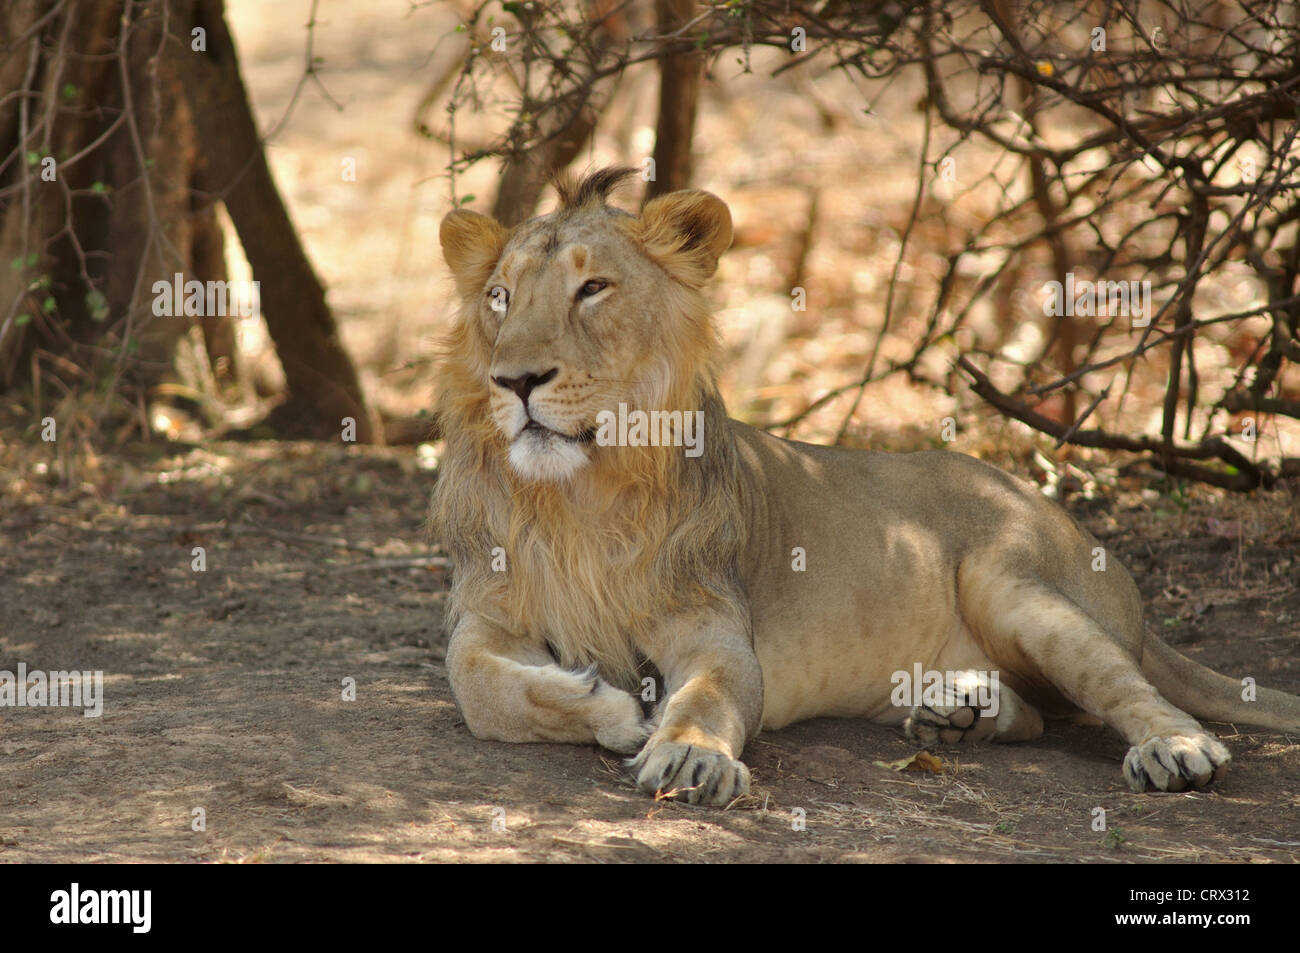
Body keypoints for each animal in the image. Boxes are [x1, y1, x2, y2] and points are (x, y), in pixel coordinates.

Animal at [432, 167, 1300, 805]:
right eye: (499, 296)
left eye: (592, 289)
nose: (514, 380)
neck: (576, 499)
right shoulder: (486, 614)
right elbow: (480, 688)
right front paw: (609, 707)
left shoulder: (717, 628)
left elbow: (706, 696)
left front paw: (686, 754)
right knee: (1036, 717)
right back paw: (956, 713)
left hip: (1014, 581)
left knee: (1122, 685)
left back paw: (1175, 747)